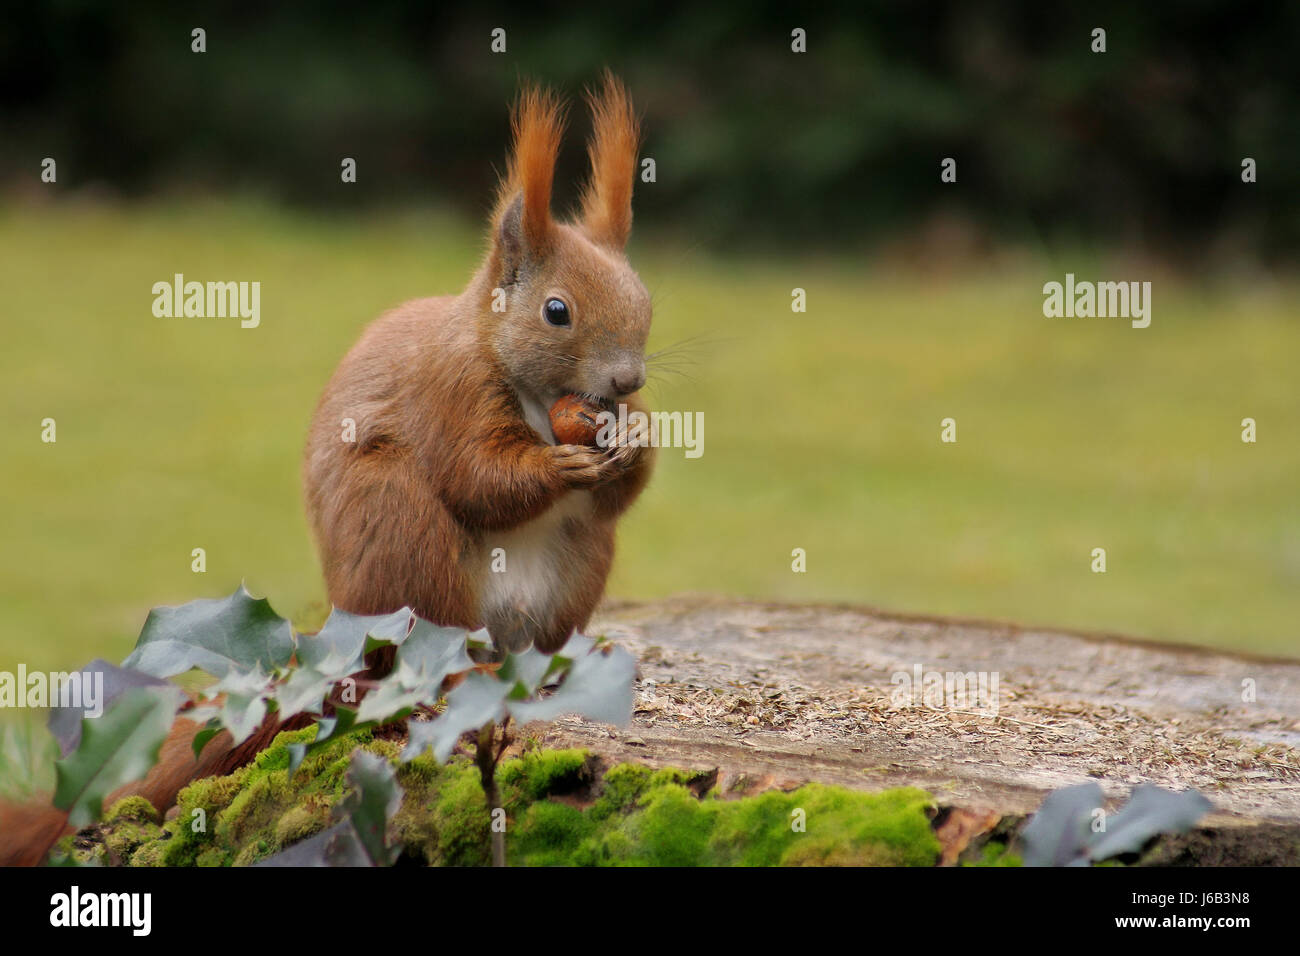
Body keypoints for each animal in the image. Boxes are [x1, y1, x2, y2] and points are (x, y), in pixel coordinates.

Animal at [0, 75, 655, 865]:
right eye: (557, 311)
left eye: (645, 300)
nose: (626, 381)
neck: (537, 393)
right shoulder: (448, 393)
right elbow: (476, 478)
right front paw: (561, 463)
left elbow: (619, 493)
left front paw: (639, 439)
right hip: (401, 534)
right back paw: (463, 679)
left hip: (573, 574)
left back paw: (557, 669)